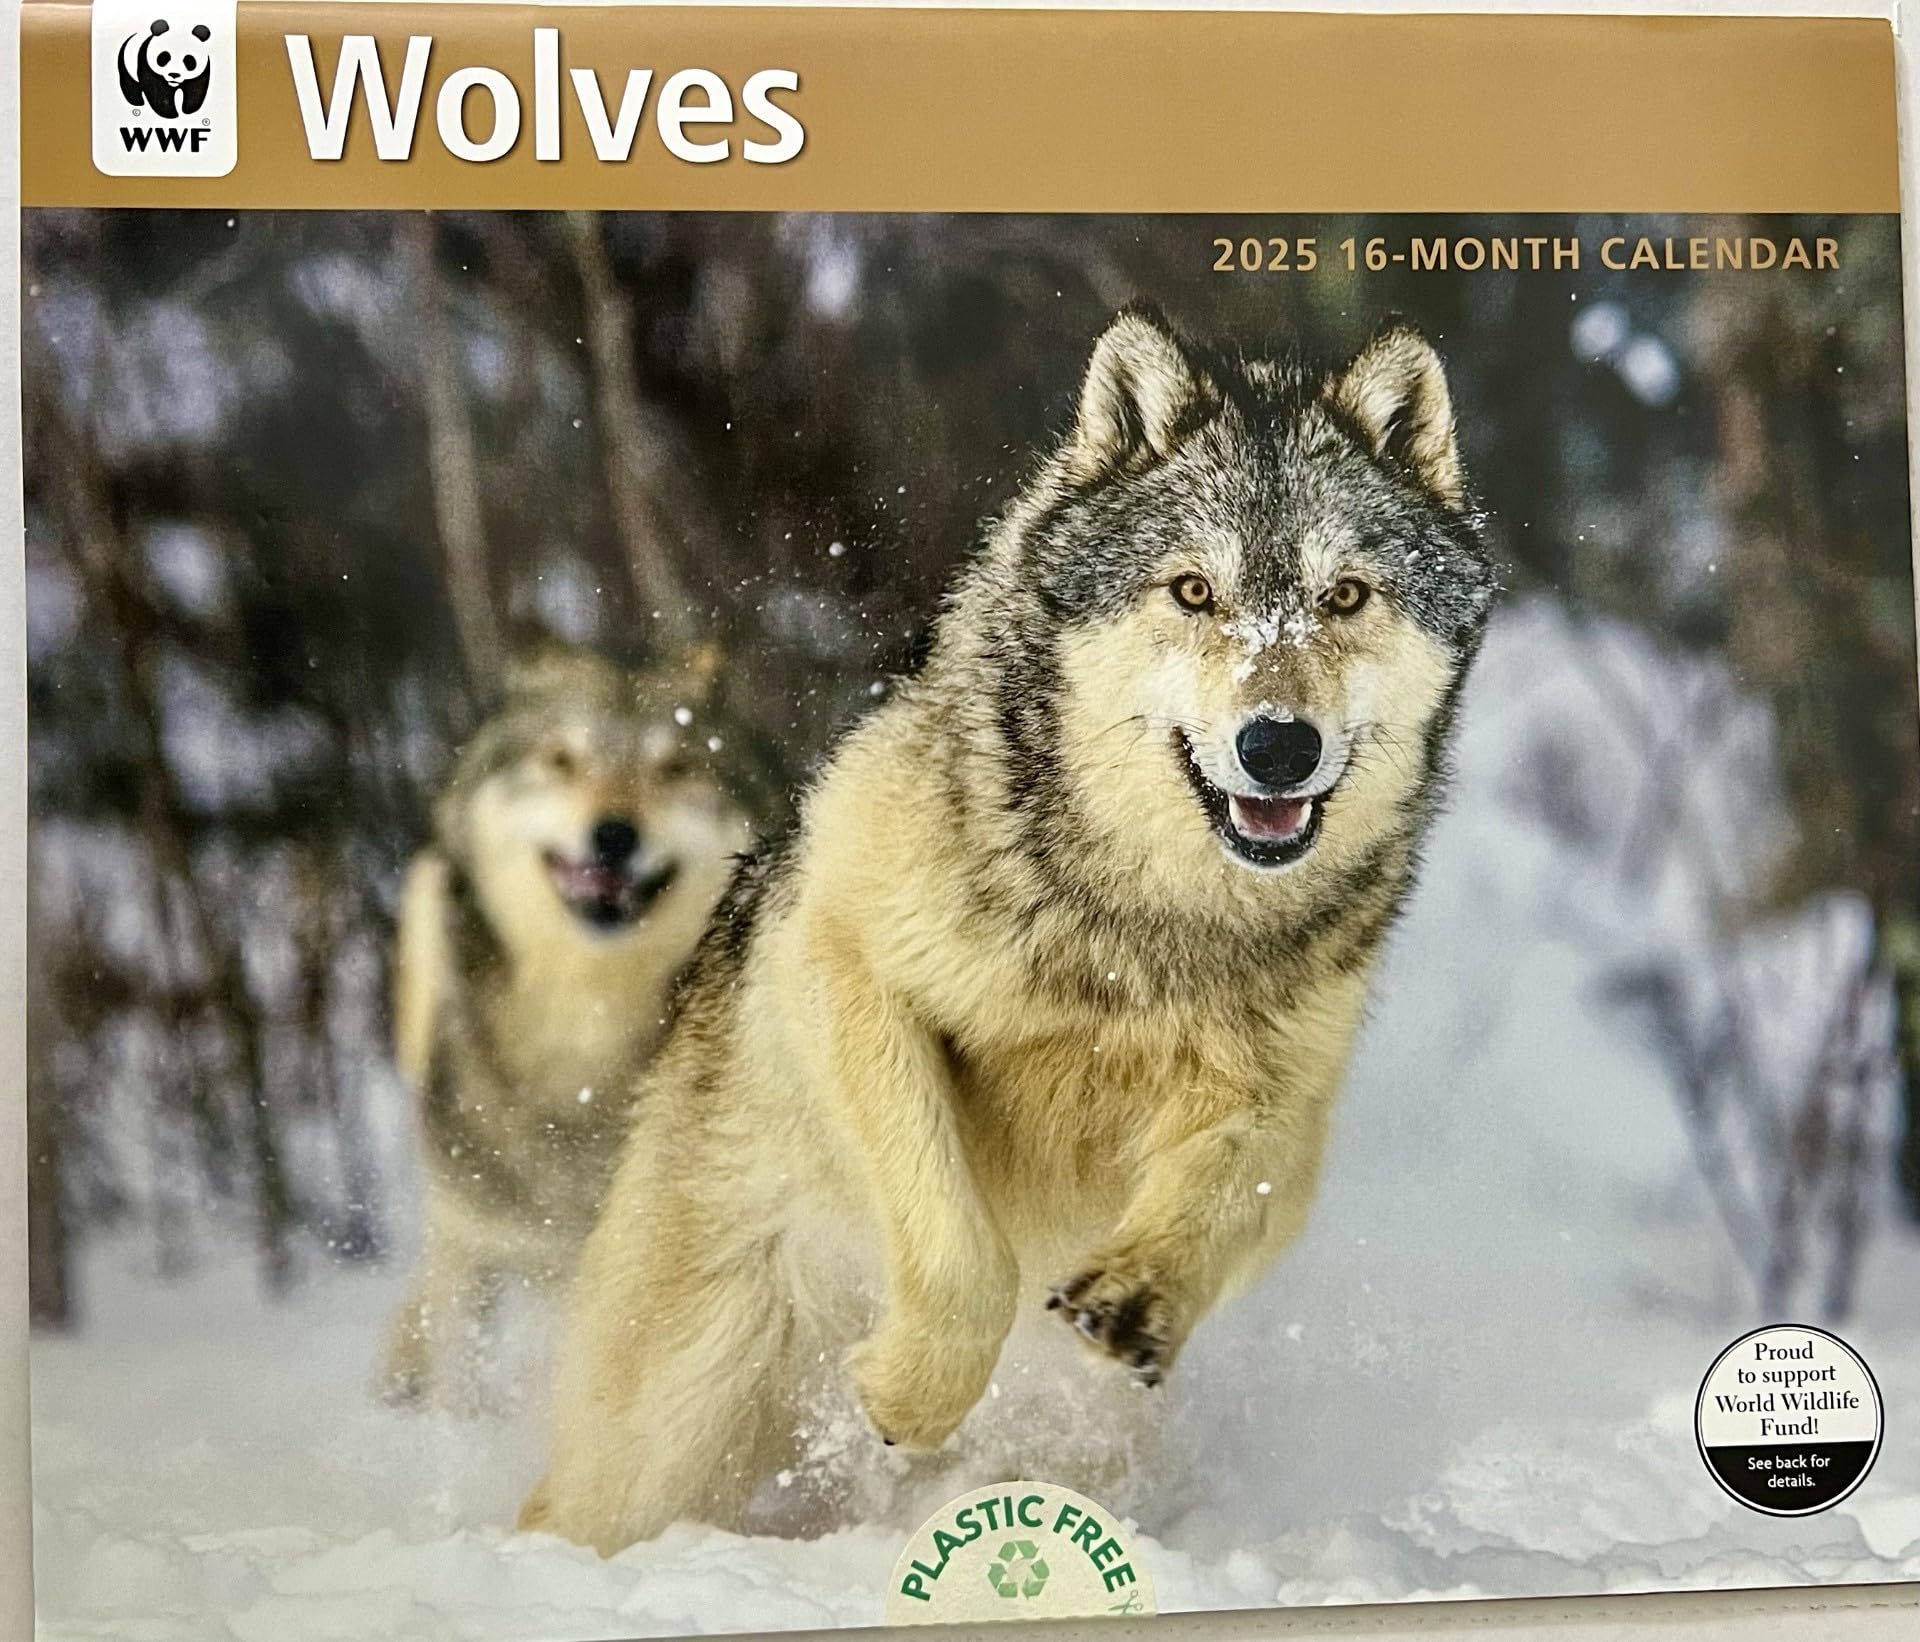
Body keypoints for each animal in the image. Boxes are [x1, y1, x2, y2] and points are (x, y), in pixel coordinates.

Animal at [520, 310, 1494, 1549]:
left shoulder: (1286, 1105)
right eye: (1191, 590)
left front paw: (1139, 1295)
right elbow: (962, 1251)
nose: (1279, 746)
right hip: (661, 1440)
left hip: (1074, 1444)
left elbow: (1228, 1189)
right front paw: (907, 1393)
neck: (1145, 928)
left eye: (1348, 596)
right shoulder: (852, 969)